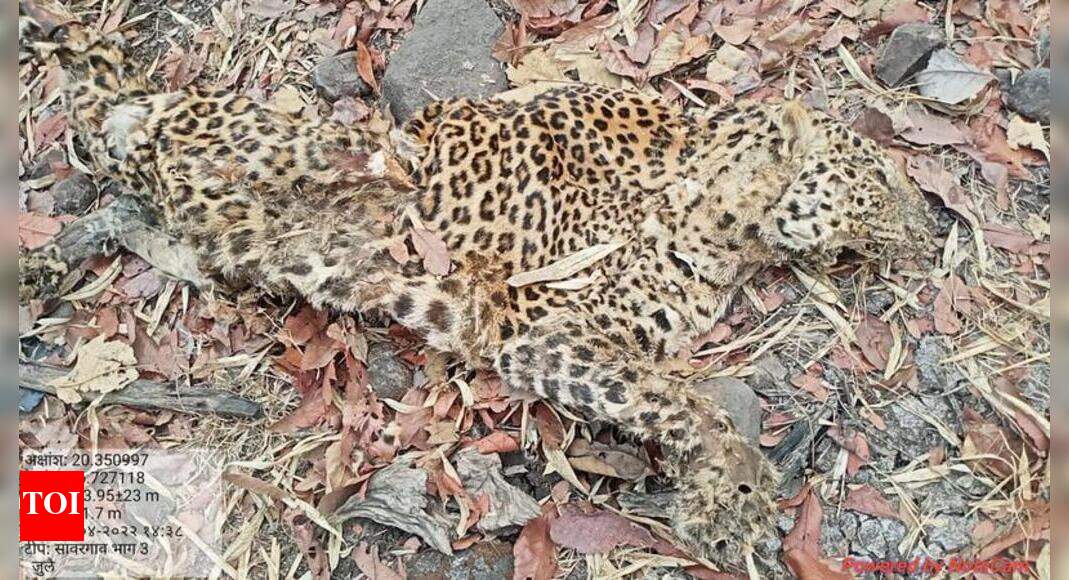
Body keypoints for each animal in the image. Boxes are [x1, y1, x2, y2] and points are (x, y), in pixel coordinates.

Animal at [23, 21, 934, 569]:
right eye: (875, 173)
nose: (923, 228)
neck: (724, 222)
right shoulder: (551, 316)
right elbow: (688, 401)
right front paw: (732, 495)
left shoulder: (566, 336)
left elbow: (663, 393)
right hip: (272, 141)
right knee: (286, 144)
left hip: (216, 243)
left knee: (140, 203)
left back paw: (73, 244)